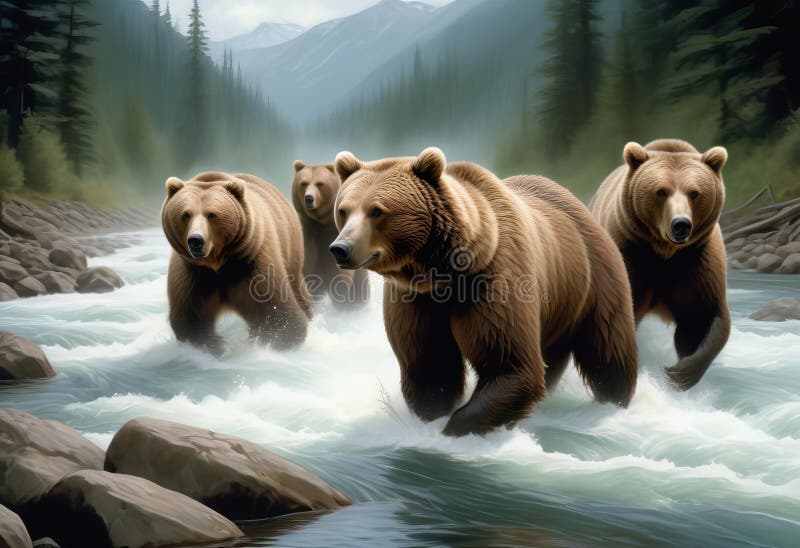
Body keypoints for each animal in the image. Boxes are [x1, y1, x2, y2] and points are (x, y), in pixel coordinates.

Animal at [161, 171, 312, 354]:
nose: (196, 240)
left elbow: (276, 311)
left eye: (212, 214)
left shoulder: (252, 265)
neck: (219, 265)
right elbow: (191, 319)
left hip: (291, 248)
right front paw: (215, 346)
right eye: (186, 214)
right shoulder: (194, 275)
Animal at [291, 160, 369, 307]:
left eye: (320, 183)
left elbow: (339, 279)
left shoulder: (333, 238)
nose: (309, 198)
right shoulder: (307, 235)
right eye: (304, 183)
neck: (320, 223)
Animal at [329, 147, 638, 437]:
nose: (340, 248)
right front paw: (434, 416)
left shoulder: (492, 284)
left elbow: (508, 366)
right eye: (343, 210)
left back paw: (615, 402)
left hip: (595, 279)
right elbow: (431, 365)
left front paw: (453, 428)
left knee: (608, 349)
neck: (442, 273)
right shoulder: (416, 299)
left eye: (377, 211)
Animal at [589, 139, 730, 391]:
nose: (681, 224)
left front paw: (678, 373)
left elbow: (702, 318)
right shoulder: (631, 255)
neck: (664, 252)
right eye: (661, 191)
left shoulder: (696, 262)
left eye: (694, 193)